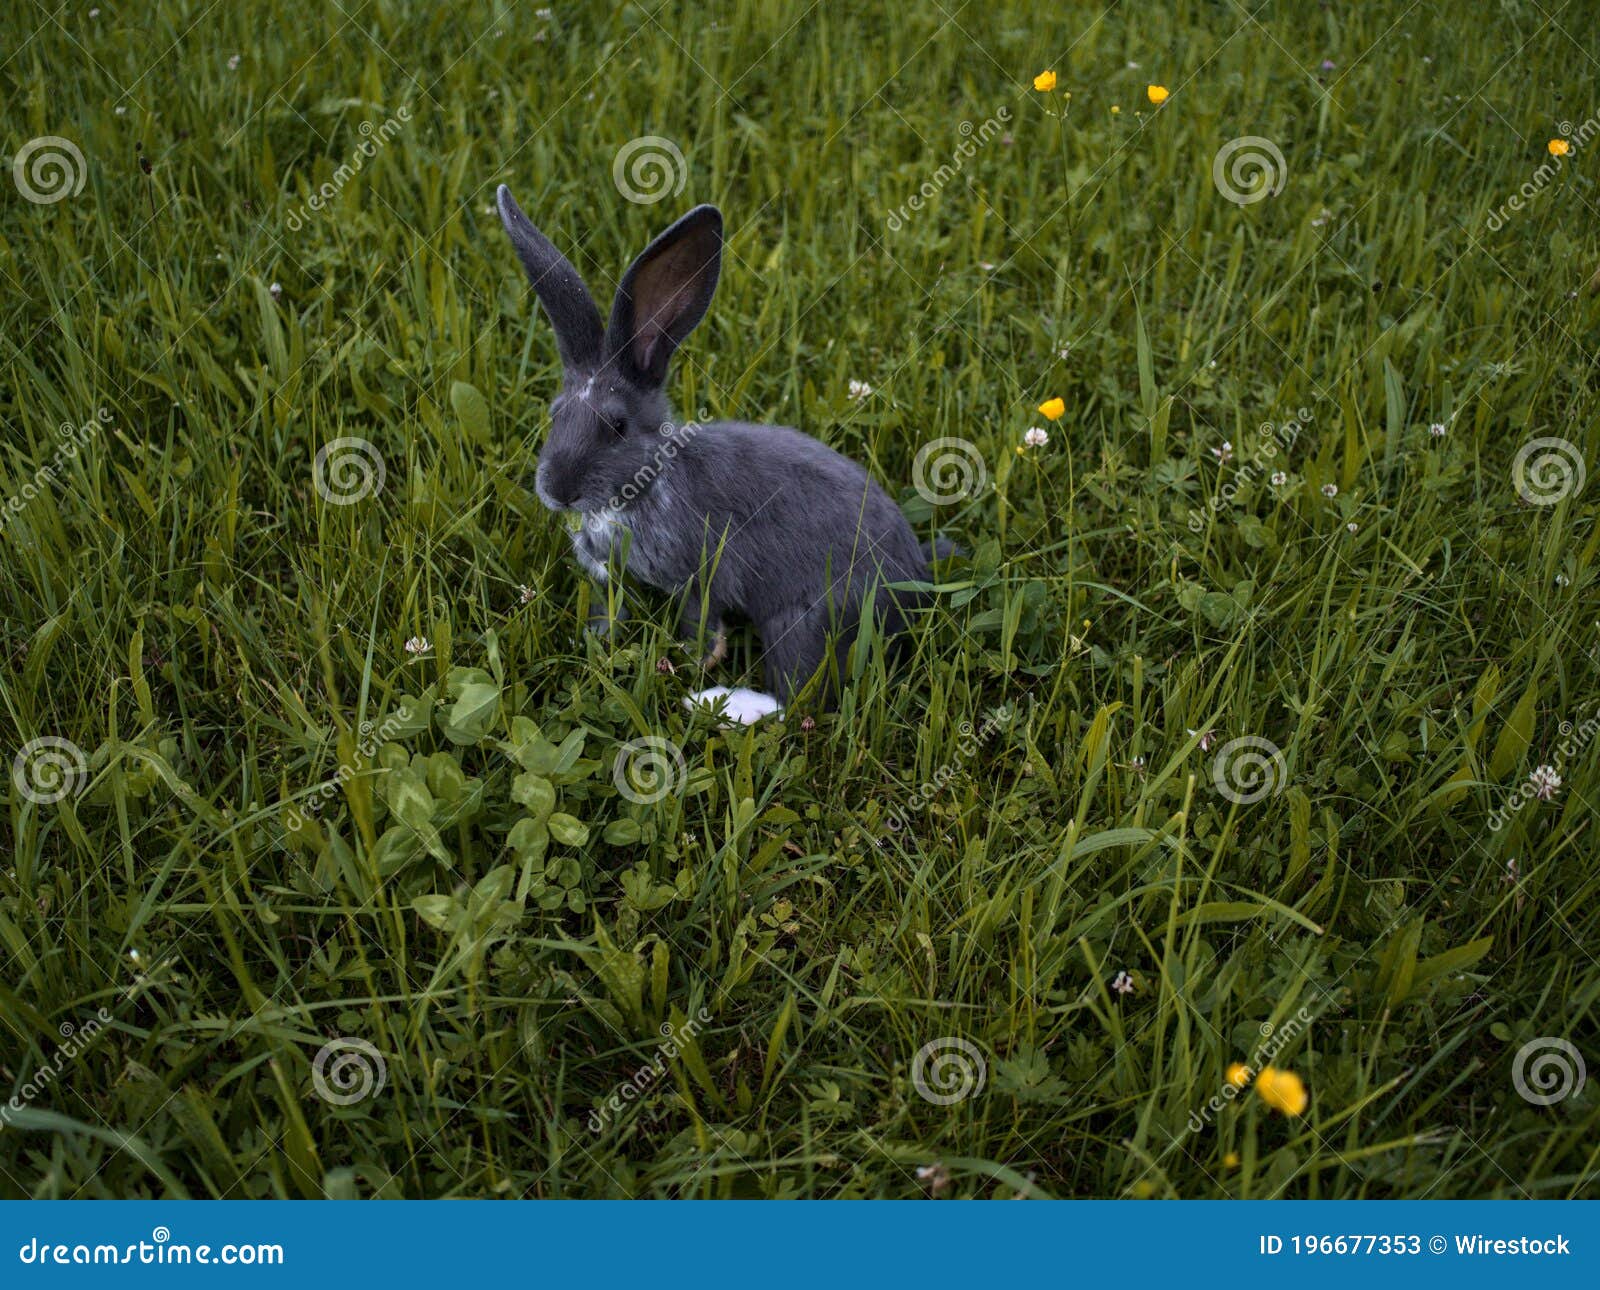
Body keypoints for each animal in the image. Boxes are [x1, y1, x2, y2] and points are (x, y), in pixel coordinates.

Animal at [496, 184, 948, 719]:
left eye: (617, 426)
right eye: (554, 414)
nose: (559, 491)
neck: (645, 486)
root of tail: (913, 582)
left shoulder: (701, 574)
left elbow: (702, 624)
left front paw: (693, 662)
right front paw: (597, 639)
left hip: (803, 622)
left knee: (800, 697)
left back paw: (716, 702)